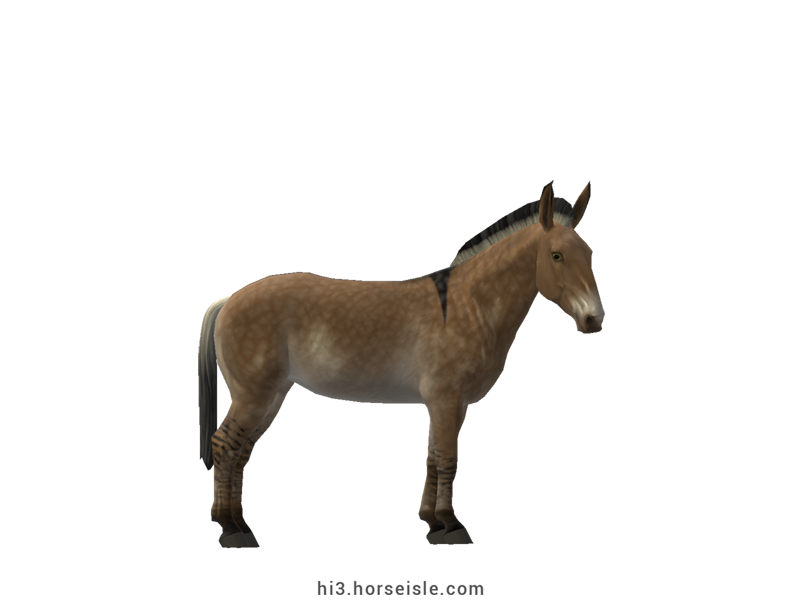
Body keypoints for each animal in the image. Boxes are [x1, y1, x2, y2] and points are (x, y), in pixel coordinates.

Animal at [198, 185, 603, 543]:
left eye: (588, 251)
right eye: (556, 255)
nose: (593, 319)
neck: (469, 305)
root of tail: (230, 300)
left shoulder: (442, 400)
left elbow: (433, 457)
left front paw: (430, 521)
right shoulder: (445, 396)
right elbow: (448, 458)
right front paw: (450, 522)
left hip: (266, 396)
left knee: (237, 452)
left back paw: (239, 523)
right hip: (250, 394)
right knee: (223, 447)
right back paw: (228, 528)